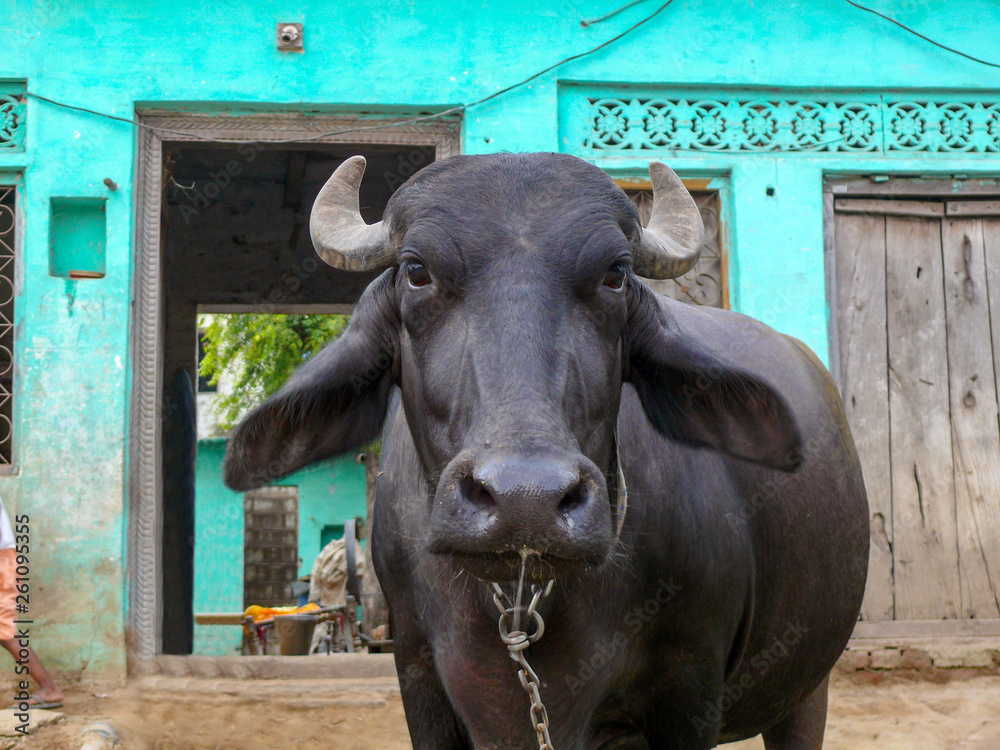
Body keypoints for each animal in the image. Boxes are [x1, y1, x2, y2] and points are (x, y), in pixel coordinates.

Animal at [225, 152, 869, 750]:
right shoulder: (416, 676)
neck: (517, 600)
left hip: (806, 689)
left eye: (615, 275)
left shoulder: (690, 688)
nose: (524, 498)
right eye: (416, 271)